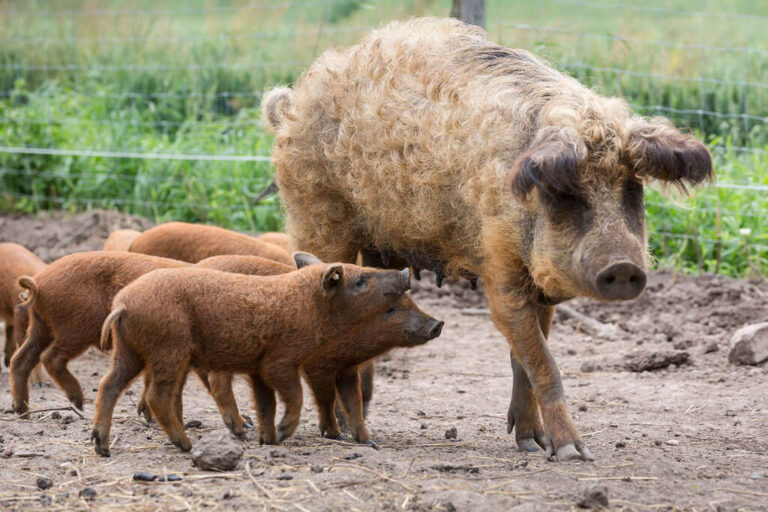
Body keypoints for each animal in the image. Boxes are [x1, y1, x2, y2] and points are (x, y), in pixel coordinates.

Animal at [92, 259, 411, 456]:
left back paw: (102, 447)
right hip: (168, 349)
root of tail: (124, 303)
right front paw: (282, 433)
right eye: (361, 281)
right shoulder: (279, 361)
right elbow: (295, 396)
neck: (310, 307)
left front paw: (267, 440)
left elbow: (266, 403)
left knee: (108, 384)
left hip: (129, 351)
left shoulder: (259, 369)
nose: (405, 272)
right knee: (158, 395)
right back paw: (187, 445)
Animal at [261, 18, 713, 460]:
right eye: (566, 192)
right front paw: (573, 452)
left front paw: (533, 444)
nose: (622, 267)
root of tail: (292, 102)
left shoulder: (539, 286)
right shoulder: (500, 268)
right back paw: (340, 431)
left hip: (381, 246)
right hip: (317, 216)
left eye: (632, 188)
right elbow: (544, 363)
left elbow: (525, 360)